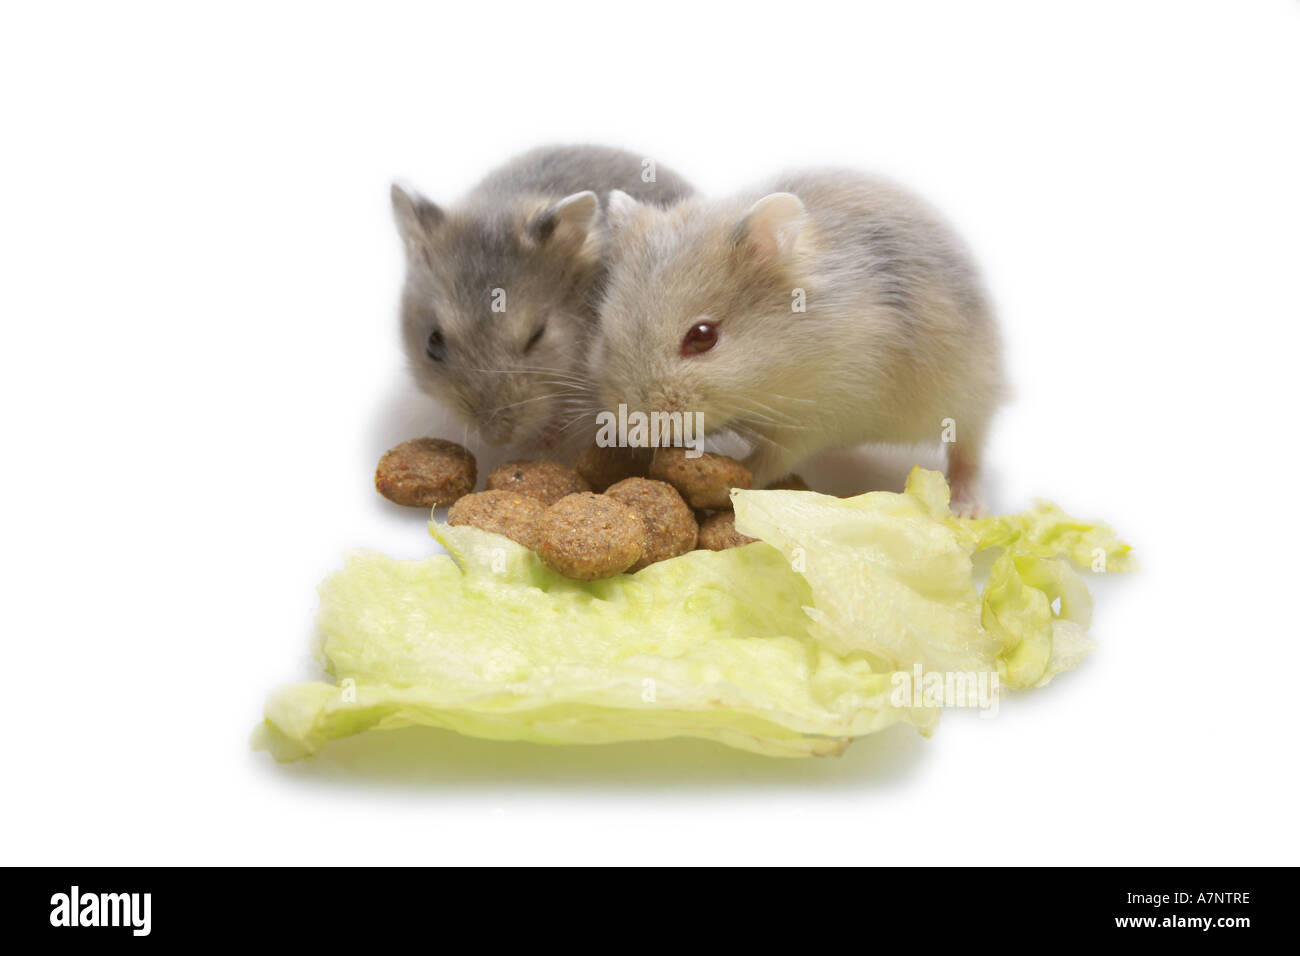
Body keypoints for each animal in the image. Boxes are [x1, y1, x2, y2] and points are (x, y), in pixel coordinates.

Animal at [588, 170, 1006, 515]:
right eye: (605, 332)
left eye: (703, 336)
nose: (634, 434)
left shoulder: (817, 419)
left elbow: (768, 462)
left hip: (968, 392)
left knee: (968, 448)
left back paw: (965, 510)